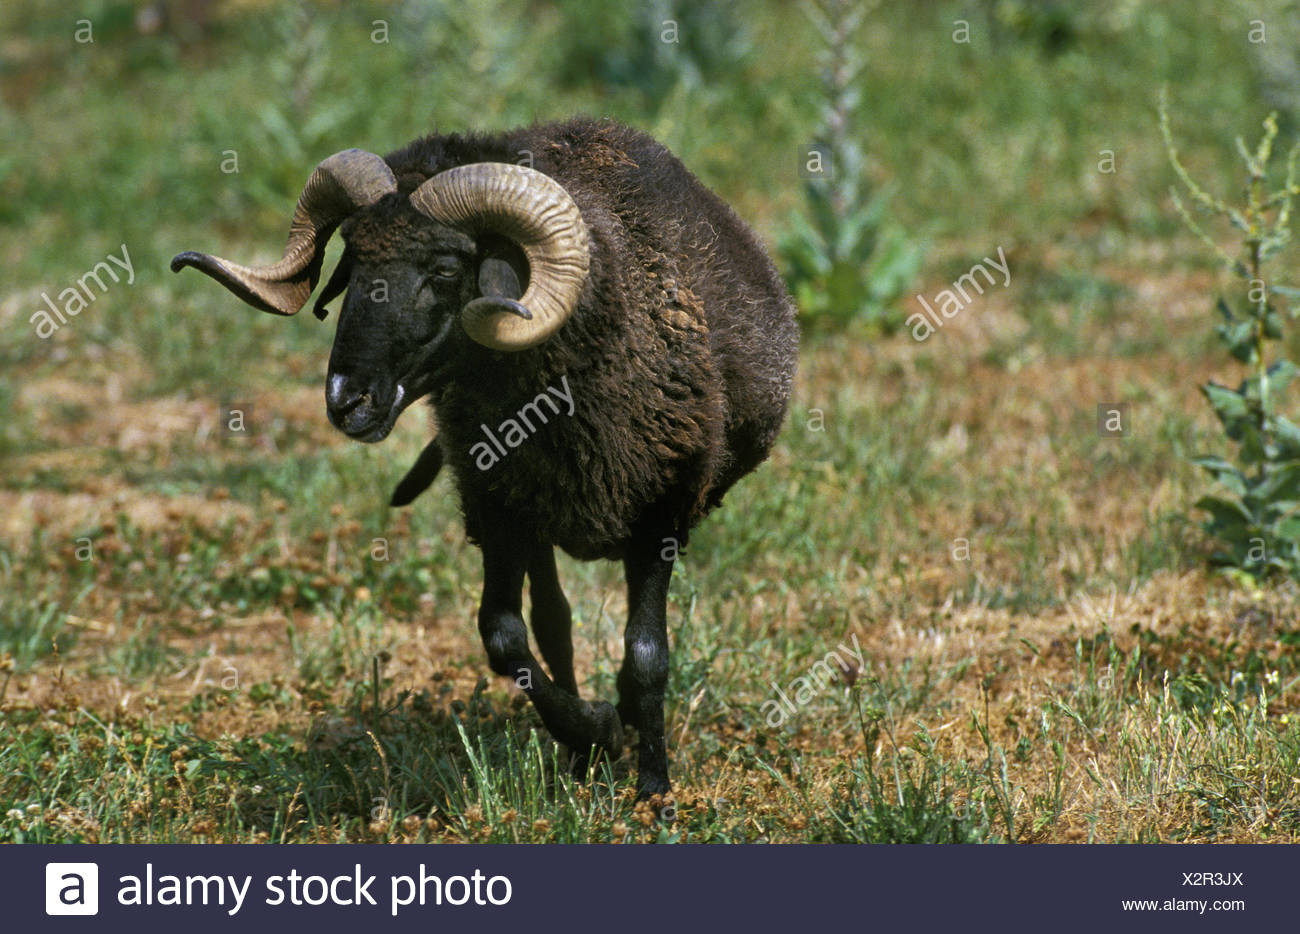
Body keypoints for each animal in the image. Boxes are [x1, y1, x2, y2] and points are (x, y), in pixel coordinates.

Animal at [172, 117, 798, 800]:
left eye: (446, 270)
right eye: (352, 259)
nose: (346, 401)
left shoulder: (664, 512)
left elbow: (646, 654)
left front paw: (653, 786)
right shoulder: (495, 507)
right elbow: (503, 637)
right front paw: (594, 732)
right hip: (536, 514)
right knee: (555, 622)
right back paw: (579, 755)